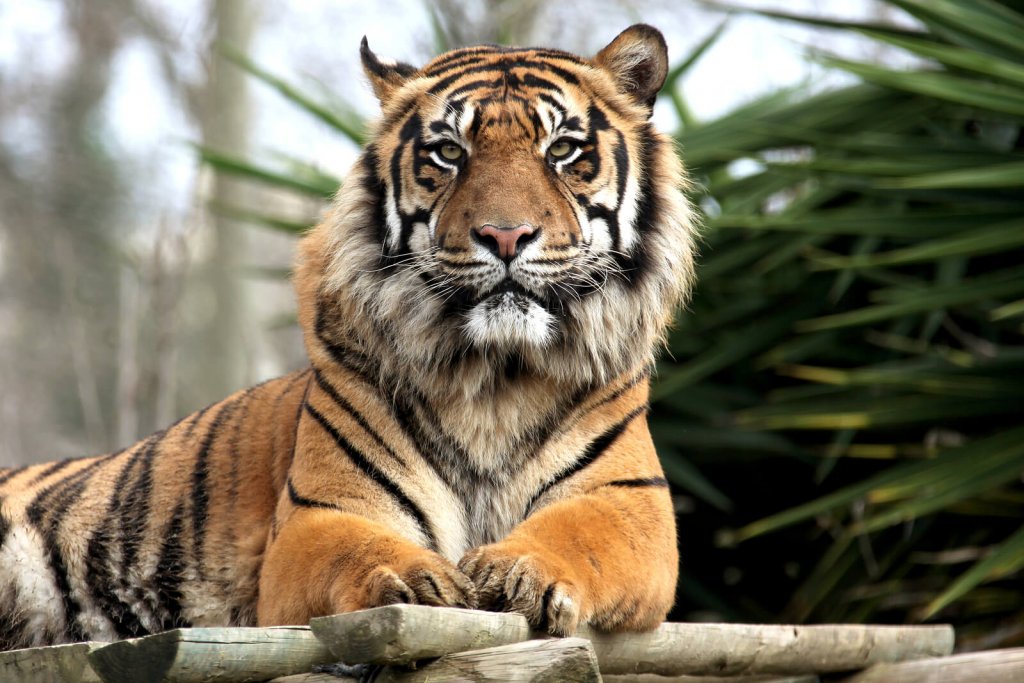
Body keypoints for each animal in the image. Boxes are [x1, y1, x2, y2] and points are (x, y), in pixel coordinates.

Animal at [0, 23, 696, 650]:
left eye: (562, 150)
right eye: (449, 152)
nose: (504, 235)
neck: (494, 377)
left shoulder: (629, 503)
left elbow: (577, 534)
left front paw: (517, 570)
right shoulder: (321, 515)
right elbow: (356, 550)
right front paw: (417, 582)